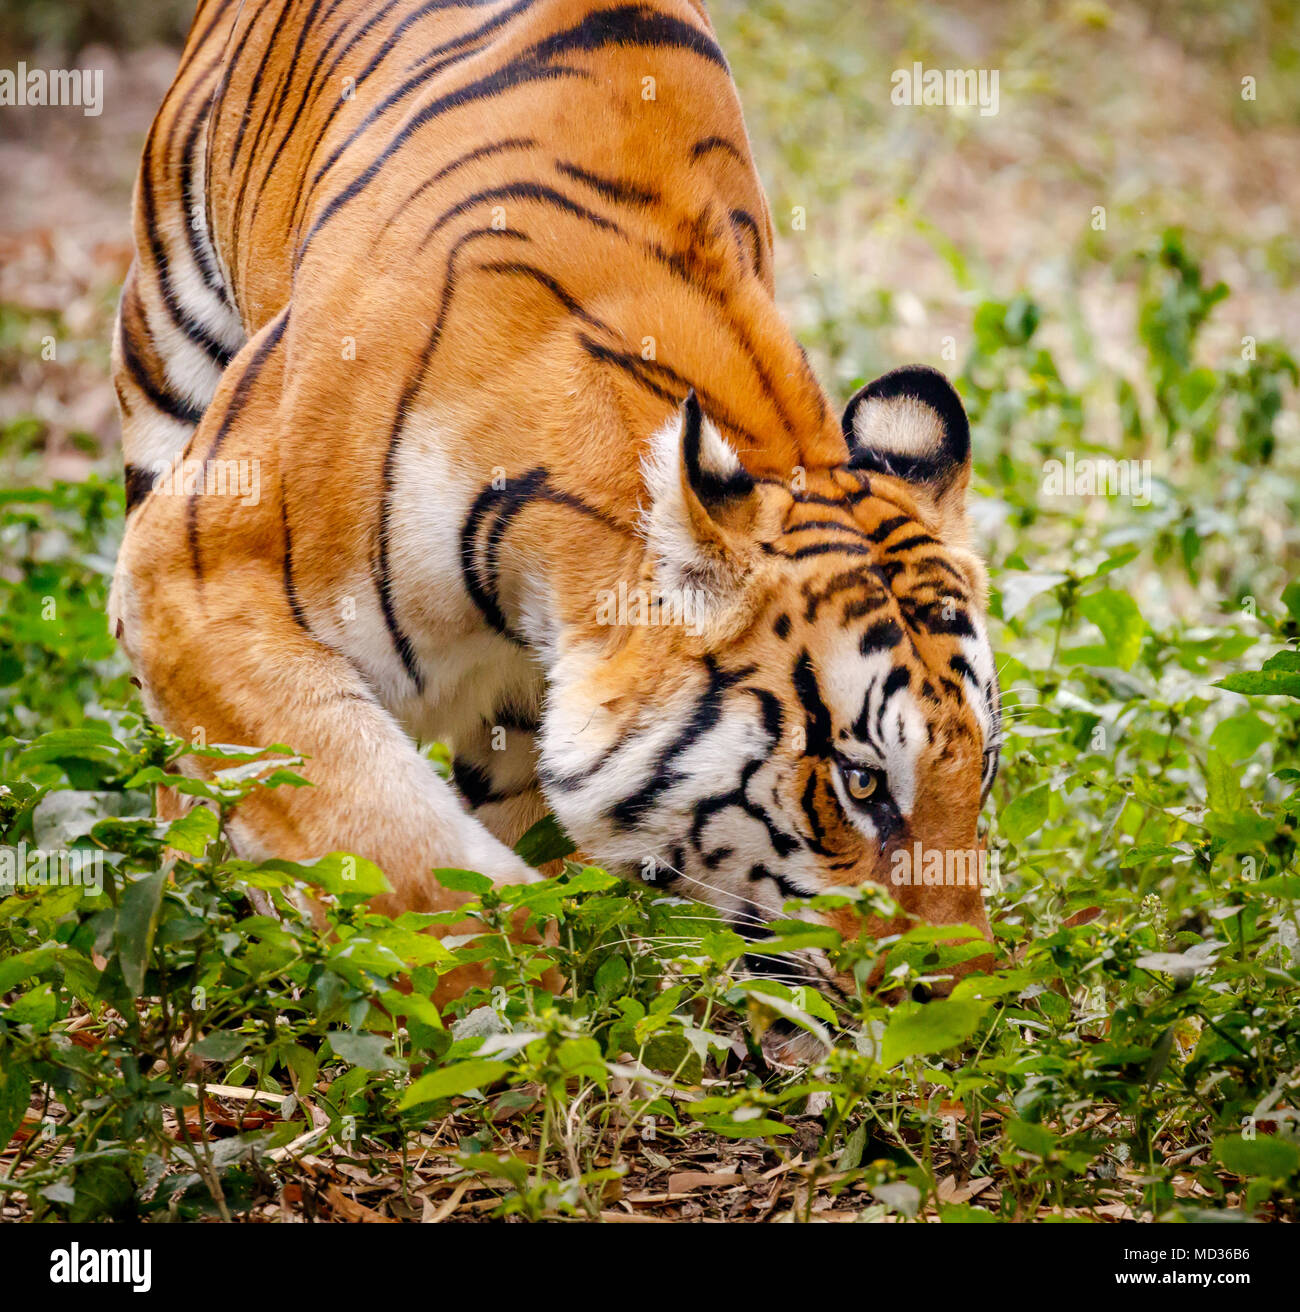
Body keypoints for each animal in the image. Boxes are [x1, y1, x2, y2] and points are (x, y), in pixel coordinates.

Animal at [108, 0, 1002, 1022]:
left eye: (985, 773)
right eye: (861, 782)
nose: (967, 1005)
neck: (535, 593)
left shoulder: (529, 716)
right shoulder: (196, 576)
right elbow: (395, 845)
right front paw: (521, 1009)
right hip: (169, 355)